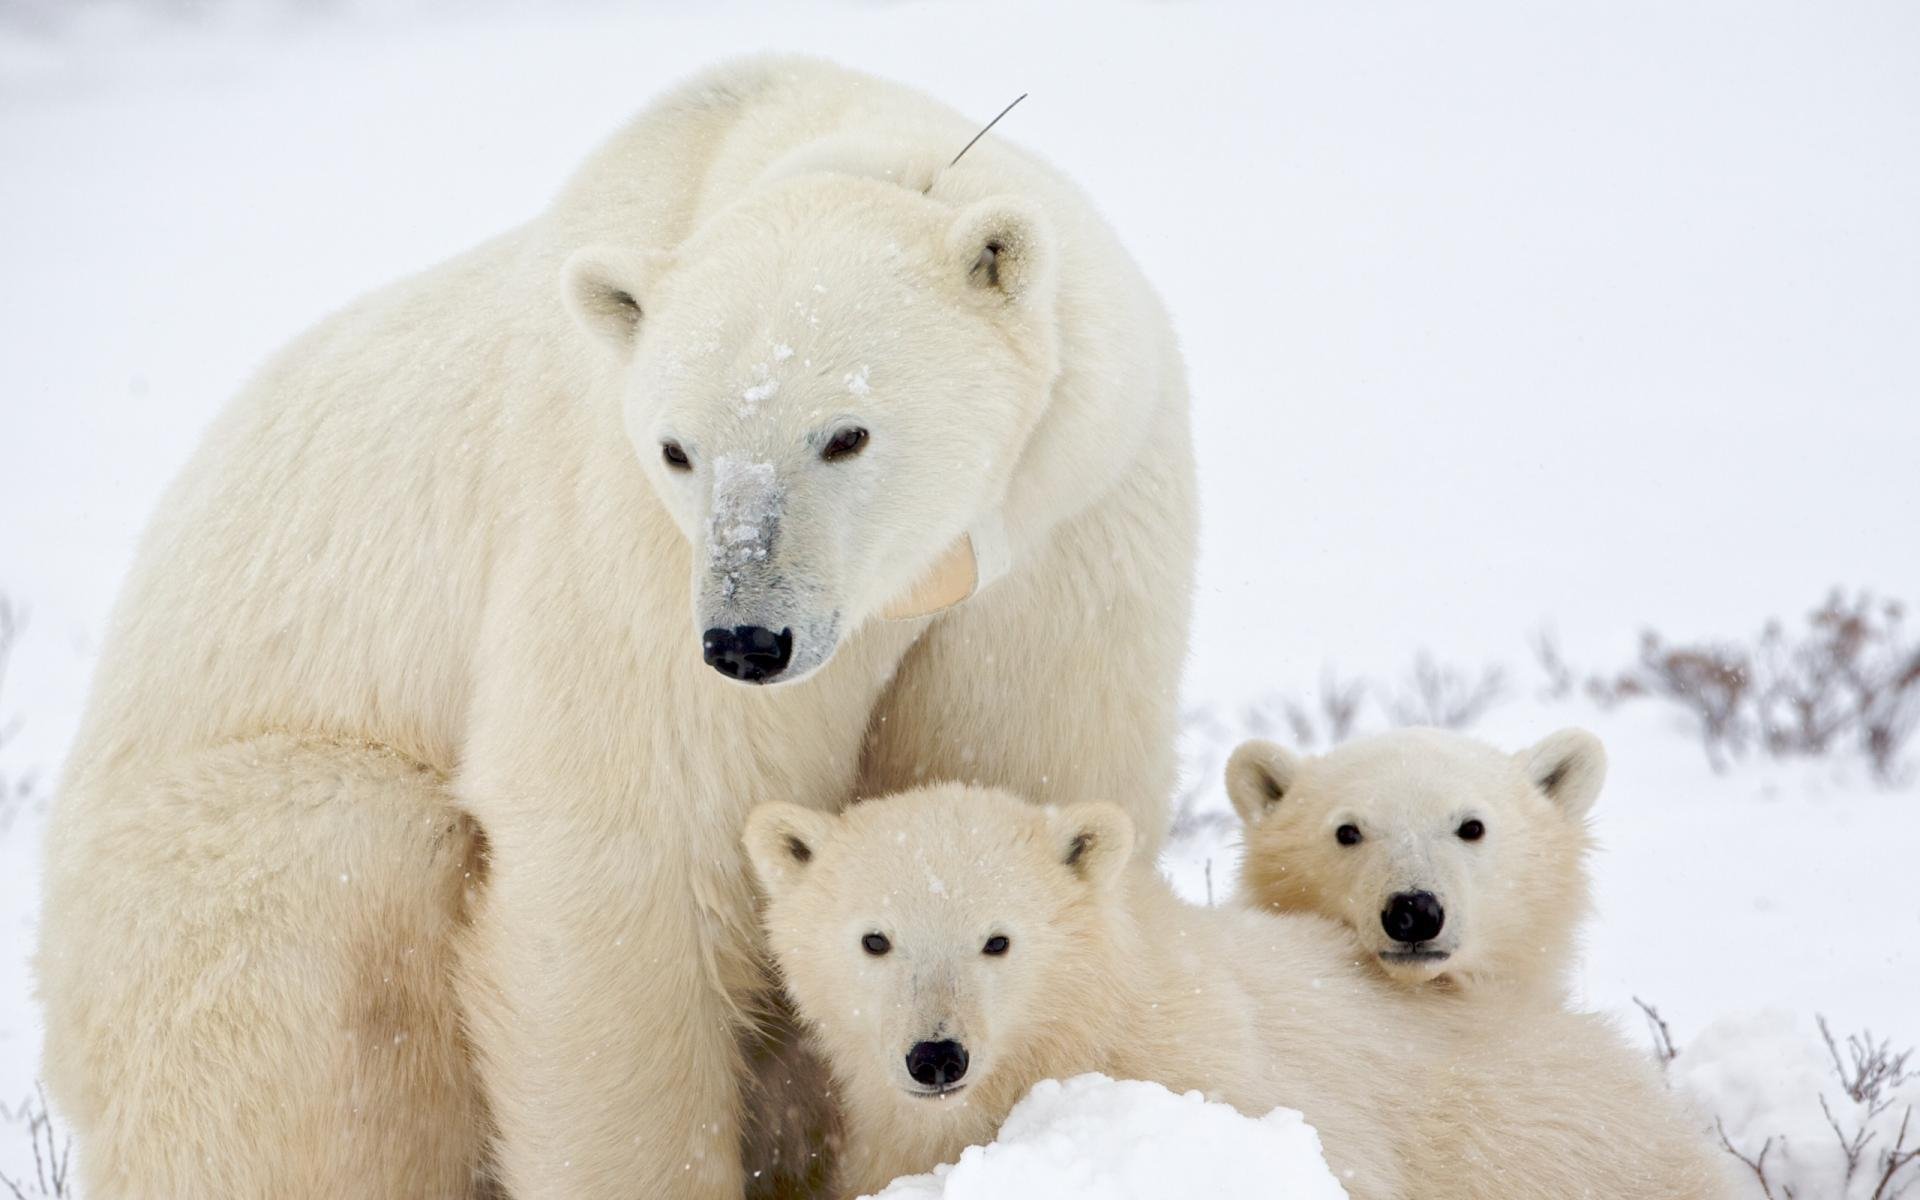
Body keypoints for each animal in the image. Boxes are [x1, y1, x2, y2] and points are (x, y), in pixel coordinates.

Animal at [35, 56, 1196, 1200]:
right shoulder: (620, 535)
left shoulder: (1064, 531)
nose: (745, 640)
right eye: (679, 448)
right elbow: (631, 845)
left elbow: (1017, 770)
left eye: (847, 434)